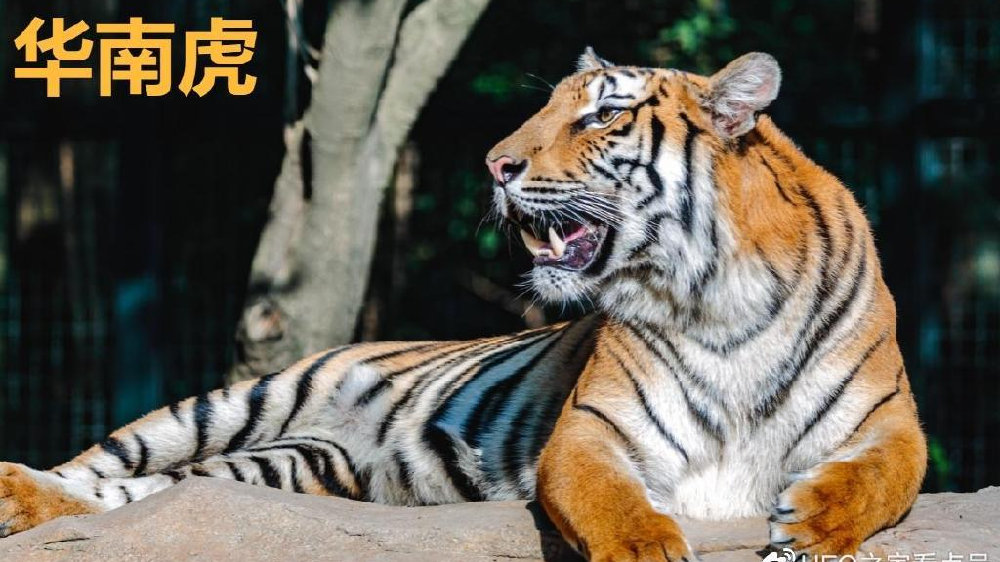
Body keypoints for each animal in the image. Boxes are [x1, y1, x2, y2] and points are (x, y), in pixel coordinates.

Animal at [0, 49, 925, 560]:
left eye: (603, 113)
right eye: (548, 104)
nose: (495, 164)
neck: (712, 293)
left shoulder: (890, 423)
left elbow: (883, 476)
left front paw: (813, 523)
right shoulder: (592, 433)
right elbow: (616, 504)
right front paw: (648, 548)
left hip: (293, 467)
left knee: (161, 494)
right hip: (235, 402)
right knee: (103, 468)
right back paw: (16, 489)